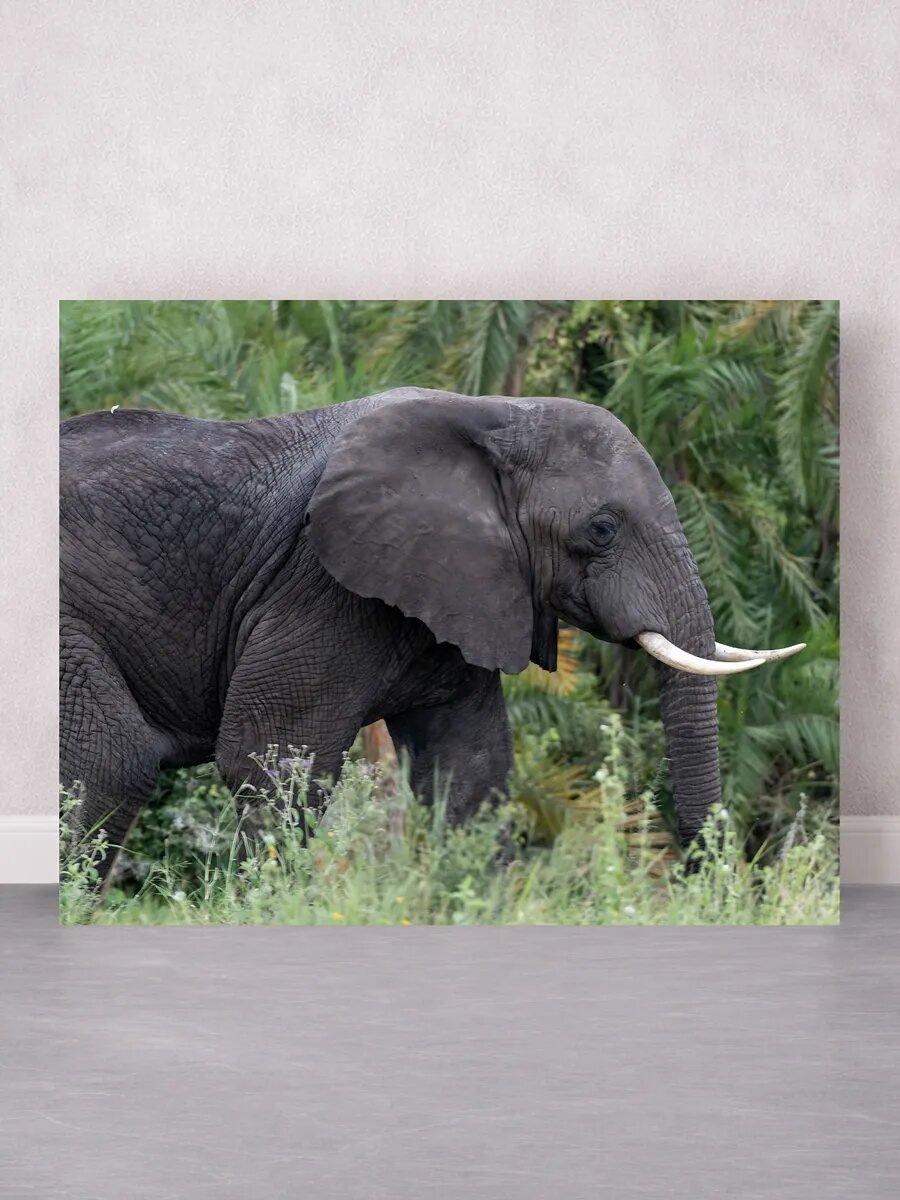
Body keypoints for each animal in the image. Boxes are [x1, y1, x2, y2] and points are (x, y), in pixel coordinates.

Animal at [60, 387, 802, 886]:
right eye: (601, 530)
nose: (708, 879)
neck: (496, 414)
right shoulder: (320, 585)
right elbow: (271, 760)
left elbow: (470, 772)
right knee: (112, 763)